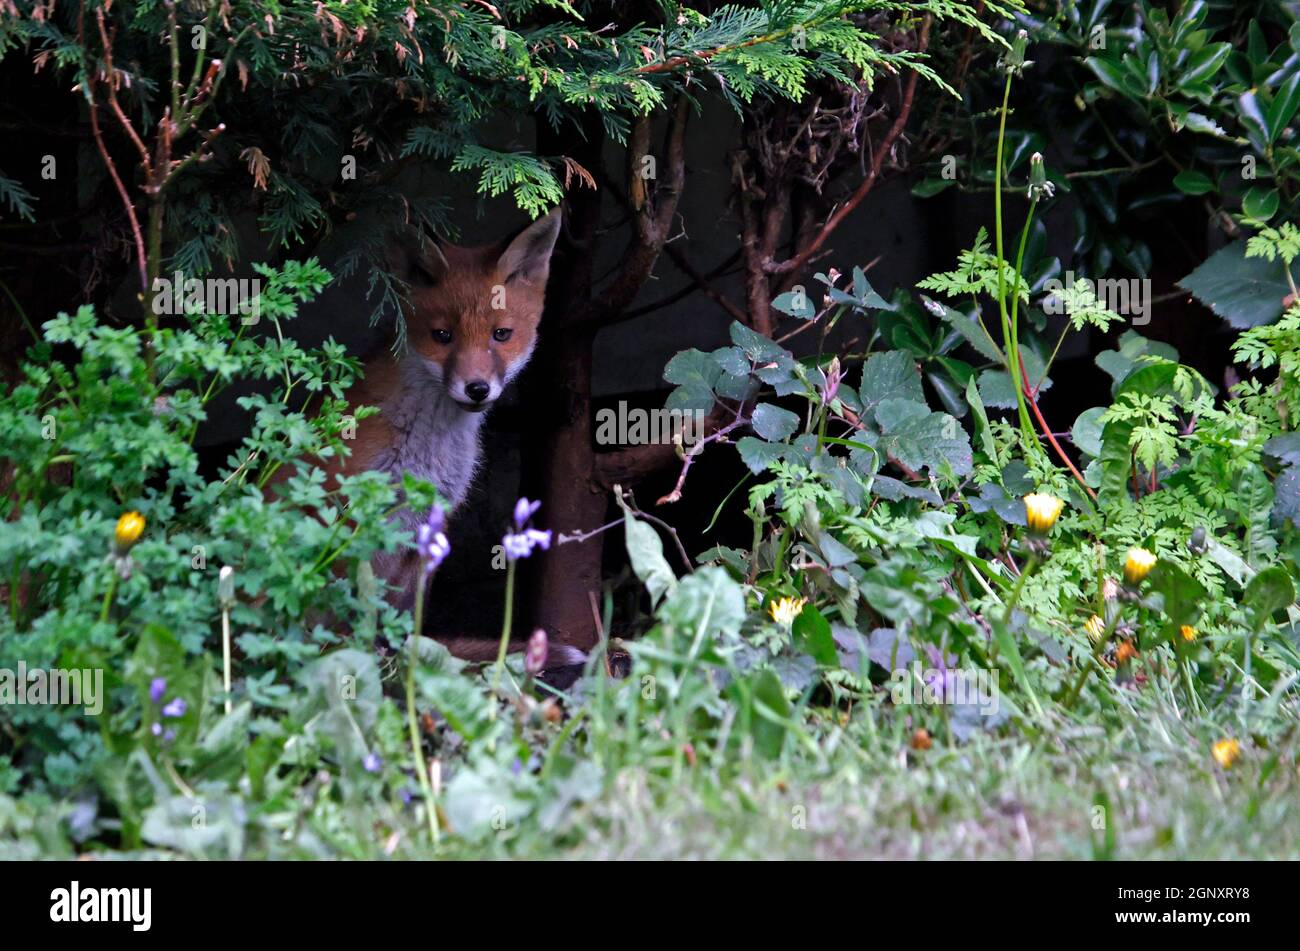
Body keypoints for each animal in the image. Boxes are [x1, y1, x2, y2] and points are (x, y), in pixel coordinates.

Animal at [318, 207, 582, 670]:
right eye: (442, 336)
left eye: (501, 334)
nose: (477, 388)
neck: (428, 445)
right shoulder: (350, 519)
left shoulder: (425, 534)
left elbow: (403, 623)